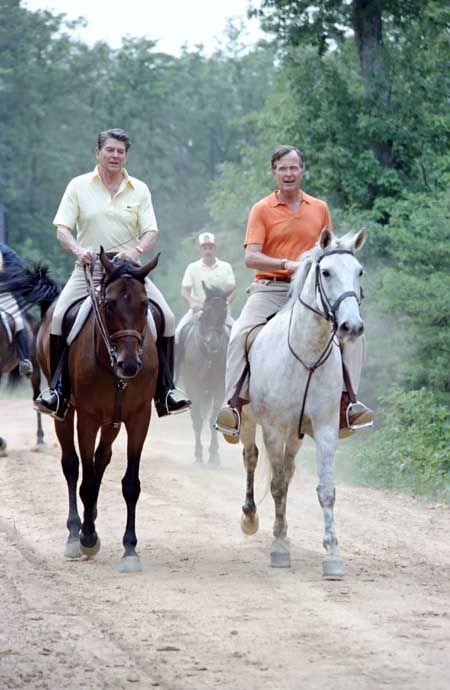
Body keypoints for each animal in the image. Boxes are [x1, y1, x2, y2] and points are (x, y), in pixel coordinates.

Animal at [178, 284, 229, 465]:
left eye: (224, 313)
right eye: (205, 312)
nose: (213, 344)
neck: (209, 356)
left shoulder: (219, 389)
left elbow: (214, 419)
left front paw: (214, 456)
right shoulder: (194, 388)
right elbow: (197, 420)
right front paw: (199, 454)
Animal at [238, 228, 367, 577]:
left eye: (359, 272)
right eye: (327, 272)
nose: (352, 327)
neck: (305, 355)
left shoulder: (324, 428)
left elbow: (326, 491)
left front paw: (332, 555)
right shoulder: (272, 428)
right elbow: (277, 485)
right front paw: (279, 548)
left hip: (296, 435)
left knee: (289, 467)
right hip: (249, 422)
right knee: (252, 459)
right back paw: (250, 518)